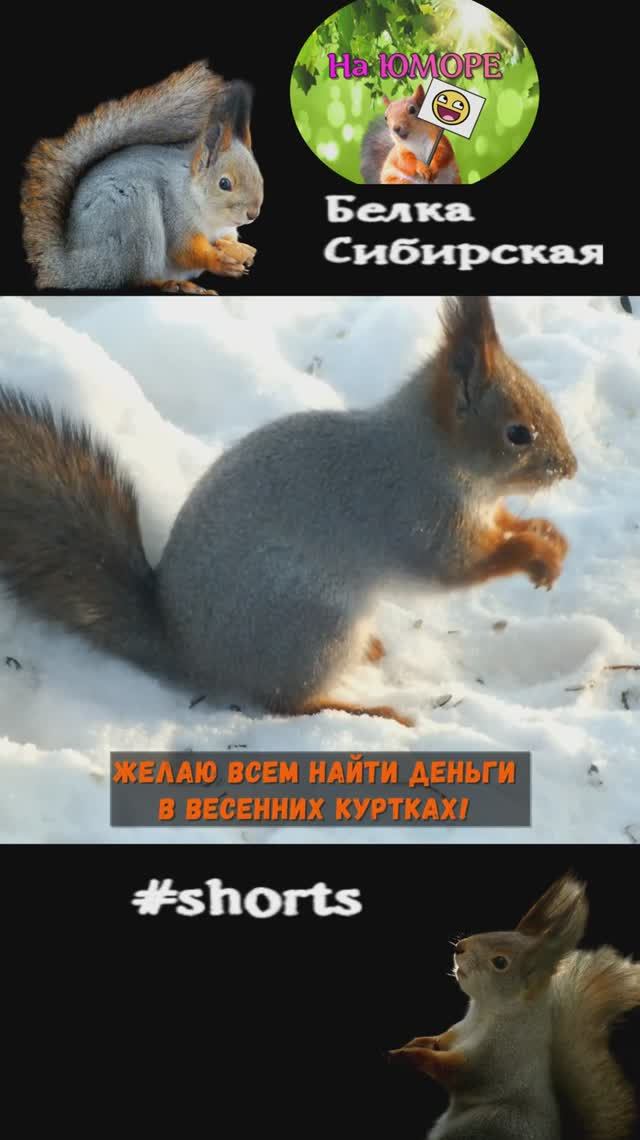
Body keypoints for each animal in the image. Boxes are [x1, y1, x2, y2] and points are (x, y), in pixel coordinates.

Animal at [0, 296, 576, 727]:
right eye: (518, 433)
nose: (569, 468)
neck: (433, 452)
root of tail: (188, 649)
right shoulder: (416, 514)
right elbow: (456, 568)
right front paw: (533, 554)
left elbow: (498, 527)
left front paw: (541, 531)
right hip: (317, 626)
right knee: (286, 703)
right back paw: (367, 710)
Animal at [20, 61, 264, 294]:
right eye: (224, 183)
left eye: (260, 179)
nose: (252, 214)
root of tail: (72, 267)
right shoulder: (177, 216)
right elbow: (184, 250)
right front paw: (220, 262)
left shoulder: (225, 230)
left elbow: (227, 240)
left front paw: (240, 250)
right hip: (135, 217)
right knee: (138, 278)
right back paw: (176, 285)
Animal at [389, 875, 640, 1140]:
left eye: (500, 962)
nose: (460, 947)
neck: (485, 1012)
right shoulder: (460, 1030)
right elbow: (441, 1040)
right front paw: (417, 1042)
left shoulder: (497, 1055)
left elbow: (457, 1071)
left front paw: (409, 1054)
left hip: (488, 1123)